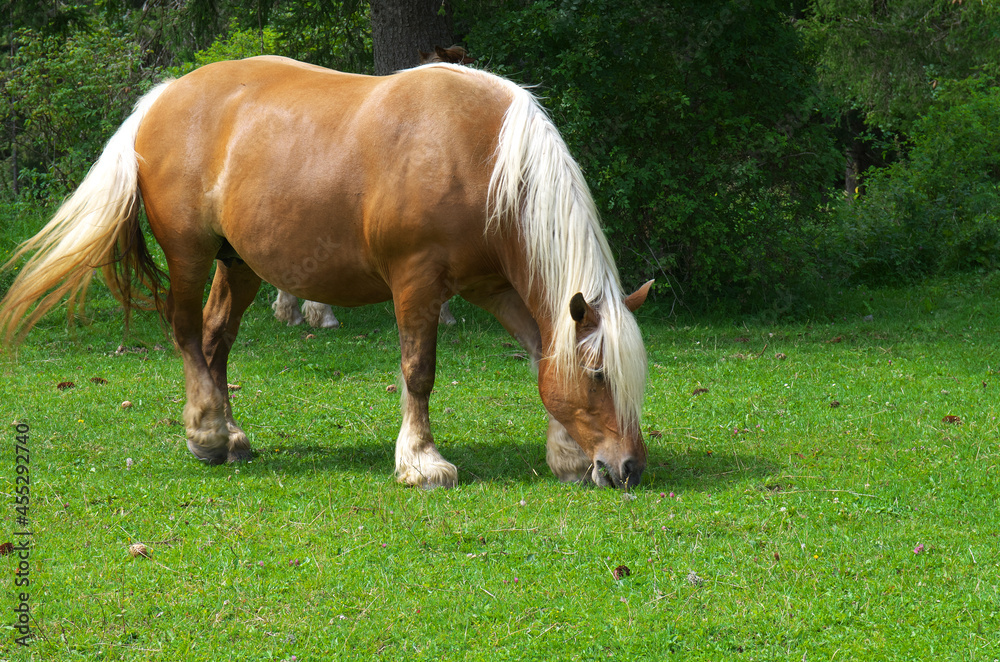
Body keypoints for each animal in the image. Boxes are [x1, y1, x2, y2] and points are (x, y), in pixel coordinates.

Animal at [0, 56, 651, 488]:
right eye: (599, 375)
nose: (628, 468)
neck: (484, 159)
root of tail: (159, 99)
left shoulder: (491, 286)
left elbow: (542, 349)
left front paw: (565, 454)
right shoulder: (417, 282)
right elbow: (418, 372)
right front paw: (421, 461)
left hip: (239, 265)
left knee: (214, 340)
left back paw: (231, 435)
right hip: (188, 255)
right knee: (186, 334)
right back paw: (206, 434)